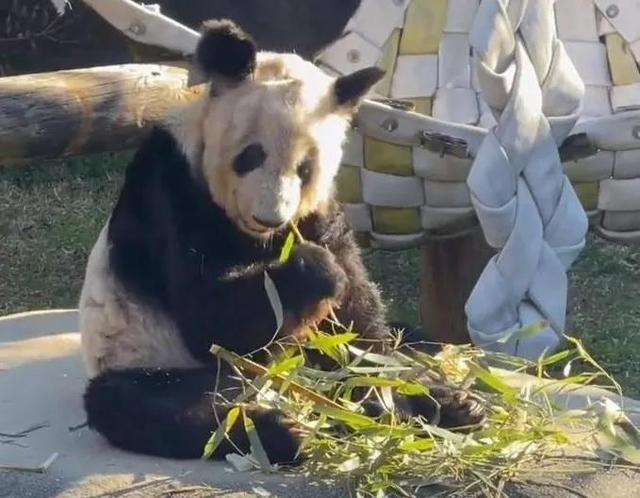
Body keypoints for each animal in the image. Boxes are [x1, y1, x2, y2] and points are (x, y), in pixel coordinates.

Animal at [79, 19, 484, 465]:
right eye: (251, 156)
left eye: (306, 169)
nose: (269, 217)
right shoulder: (172, 190)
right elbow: (210, 317)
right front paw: (317, 268)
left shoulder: (319, 213)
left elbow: (358, 321)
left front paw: (388, 395)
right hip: (147, 357)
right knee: (150, 404)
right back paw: (284, 430)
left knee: (401, 345)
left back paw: (452, 403)